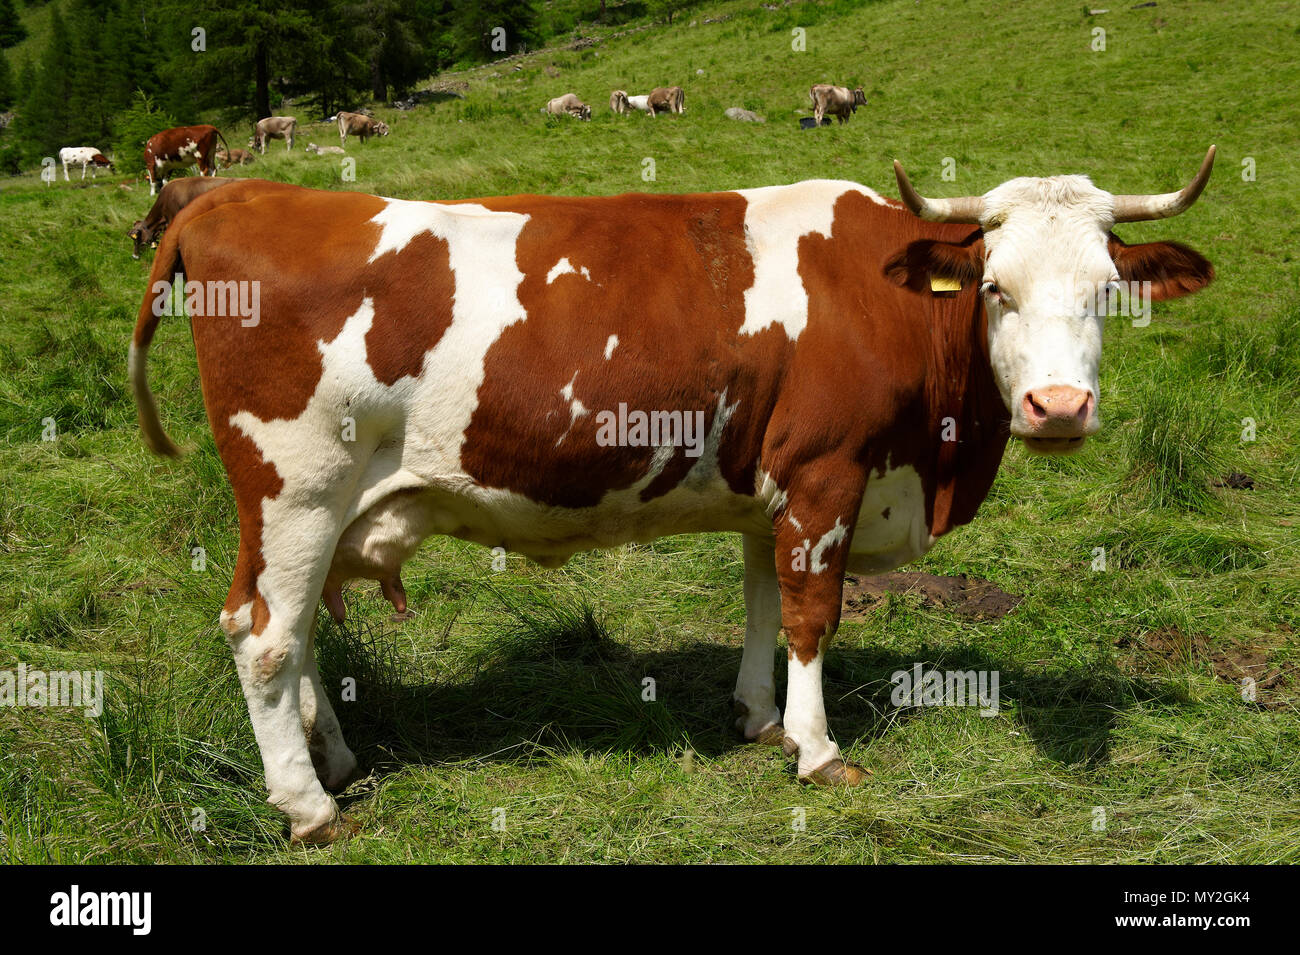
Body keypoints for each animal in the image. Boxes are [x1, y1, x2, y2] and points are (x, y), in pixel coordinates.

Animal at [129, 149, 1216, 842]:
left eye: (1107, 289)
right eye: (996, 288)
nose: (1058, 407)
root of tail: (235, 196)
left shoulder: (774, 485)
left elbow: (762, 601)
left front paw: (757, 715)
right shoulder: (827, 471)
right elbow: (813, 614)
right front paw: (818, 750)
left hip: (314, 506)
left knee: (299, 627)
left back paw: (336, 761)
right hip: (297, 484)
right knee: (263, 633)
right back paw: (307, 807)